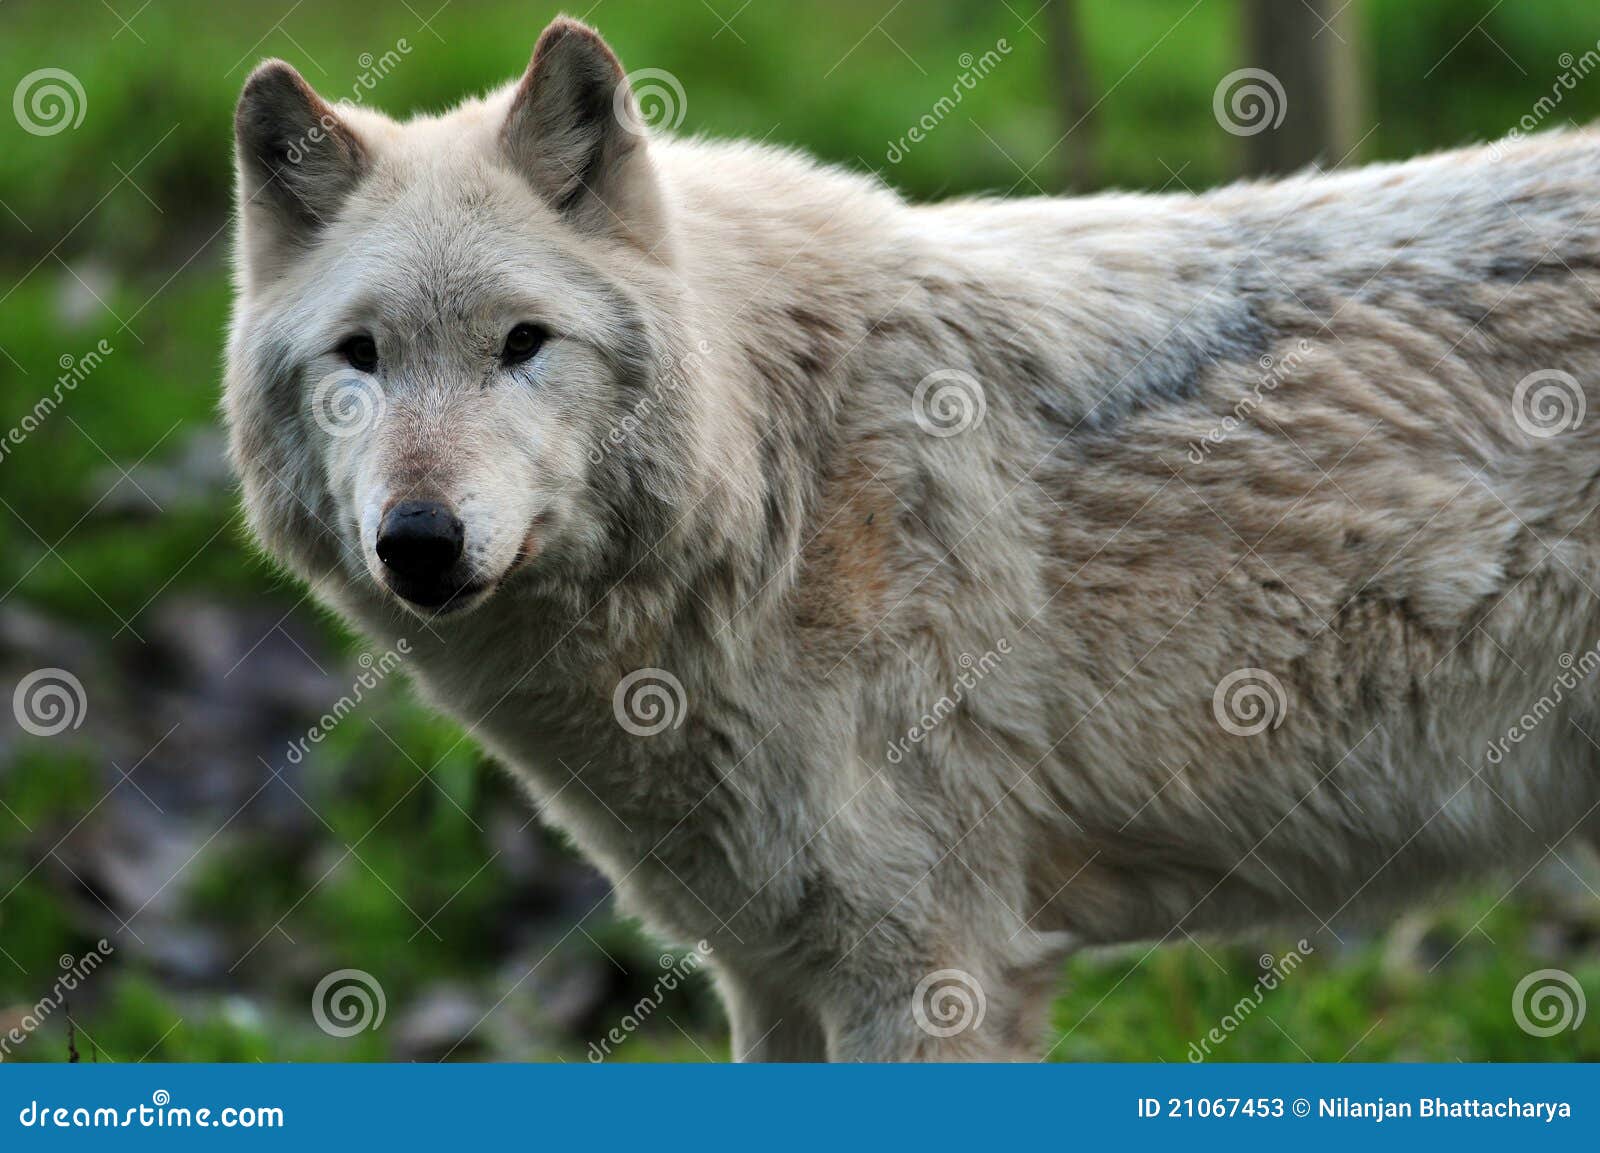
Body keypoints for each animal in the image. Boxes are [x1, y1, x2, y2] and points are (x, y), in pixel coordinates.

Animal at [225, 17, 1600, 1060]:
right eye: (361, 356)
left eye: (522, 343)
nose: (419, 539)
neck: (776, 477)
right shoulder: (770, 976)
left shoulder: (934, 971)